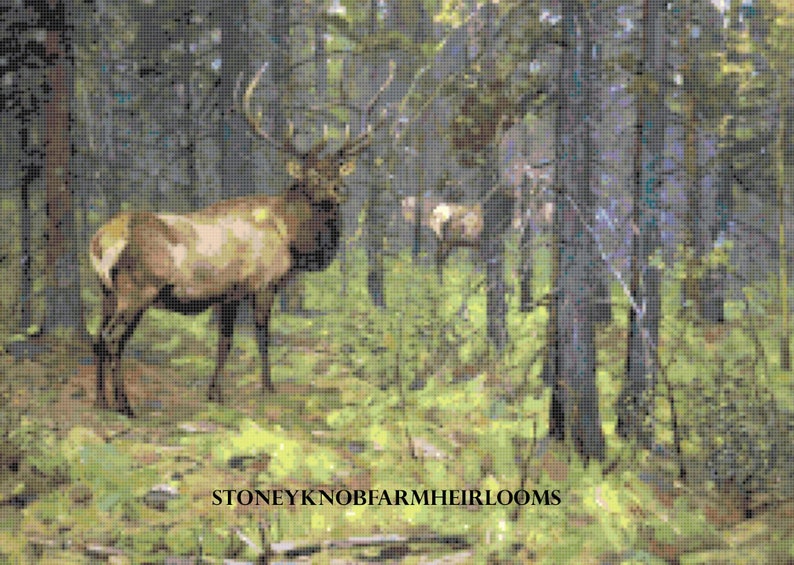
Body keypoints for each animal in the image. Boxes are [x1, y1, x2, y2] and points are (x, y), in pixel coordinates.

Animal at [90, 64, 394, 416]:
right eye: (313, 175)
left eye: (338, 171)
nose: (342, 192)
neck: (292, 240)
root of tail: (102, 239)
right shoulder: (258, 284)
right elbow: (256, 337)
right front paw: (262, 388)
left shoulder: (230, 293)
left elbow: (228, 341)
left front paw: (217, 393)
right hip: (139, 288)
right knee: (112, 338)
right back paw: (125, 406)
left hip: (108, 292)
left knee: (98, 337)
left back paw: (101, 400)